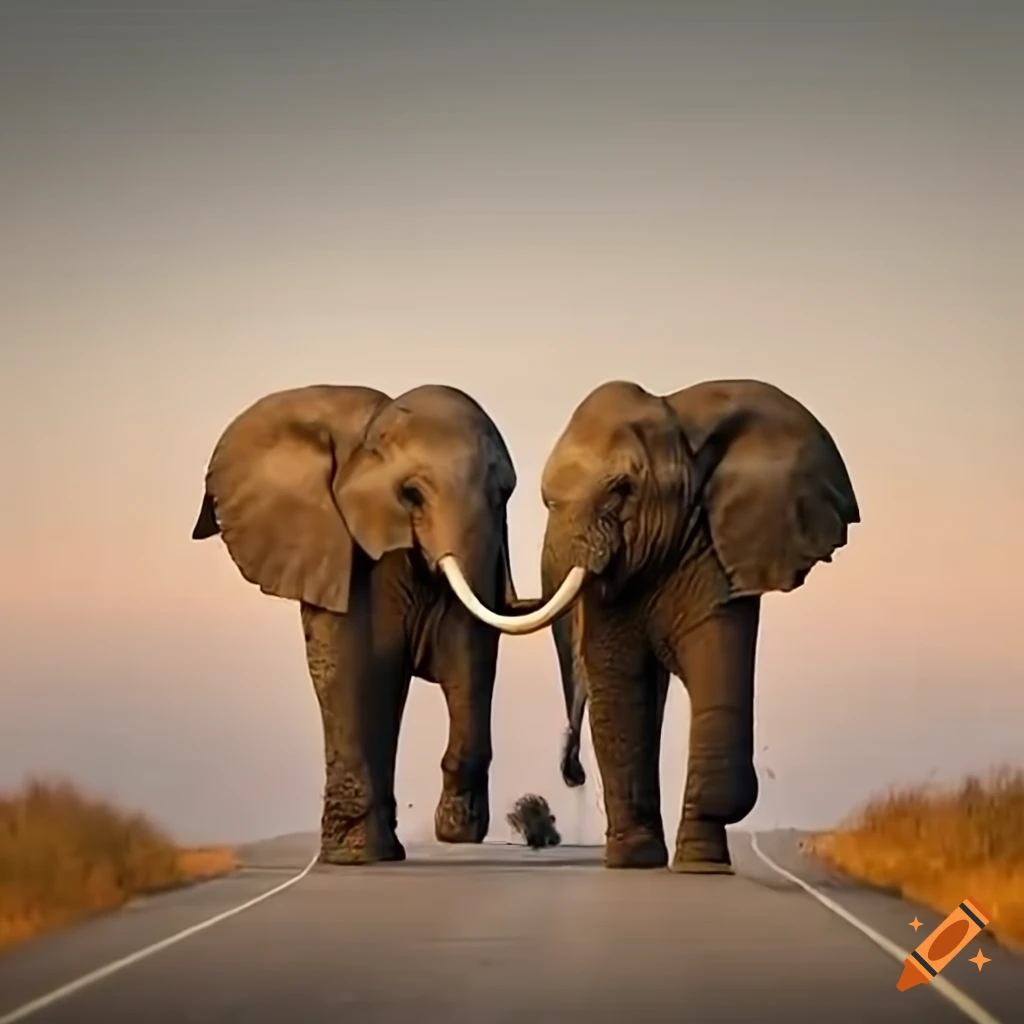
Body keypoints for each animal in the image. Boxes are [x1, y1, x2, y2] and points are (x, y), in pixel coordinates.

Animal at [190, 384, 575, 865]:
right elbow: (358, 665)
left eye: (504, 494)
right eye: (411, 495)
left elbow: (466, 650)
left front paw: (455, 824)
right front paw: (362, 855)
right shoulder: (338, 542)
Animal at [524, 378, 860, 873]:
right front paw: (634, 861)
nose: (572, 774)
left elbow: (712, 655)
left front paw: (702, 853)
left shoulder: (714, 547)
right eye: (548, 500)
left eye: (623, 489)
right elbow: (621, 684)